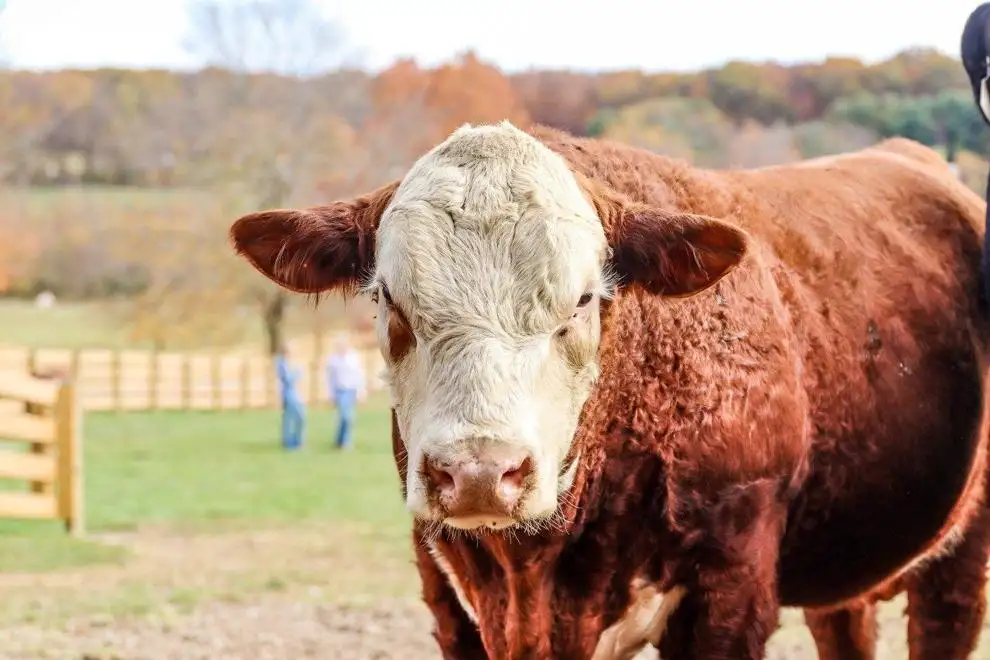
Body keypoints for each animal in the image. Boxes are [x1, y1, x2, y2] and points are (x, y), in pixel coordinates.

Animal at [228, 121, 990, 659]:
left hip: (960, 559)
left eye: (584, 299)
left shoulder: (729, 589)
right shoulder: (450, 596)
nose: (479, 473)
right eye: (389, 298)